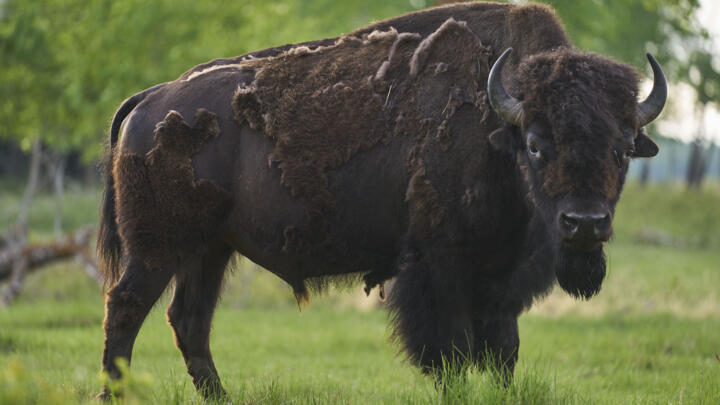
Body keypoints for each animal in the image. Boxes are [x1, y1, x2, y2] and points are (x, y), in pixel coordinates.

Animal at [97, 2, 666, 399]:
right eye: (535, 144)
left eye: (623, 148)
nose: (585, 223)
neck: (496, 127)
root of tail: (150, 99)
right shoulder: (440, 265)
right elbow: (451, 351)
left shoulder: (501, 279)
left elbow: (504, 352)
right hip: (157, 248)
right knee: (126, 308)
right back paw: (114, 394)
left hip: (209, 250)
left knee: (189, 321)